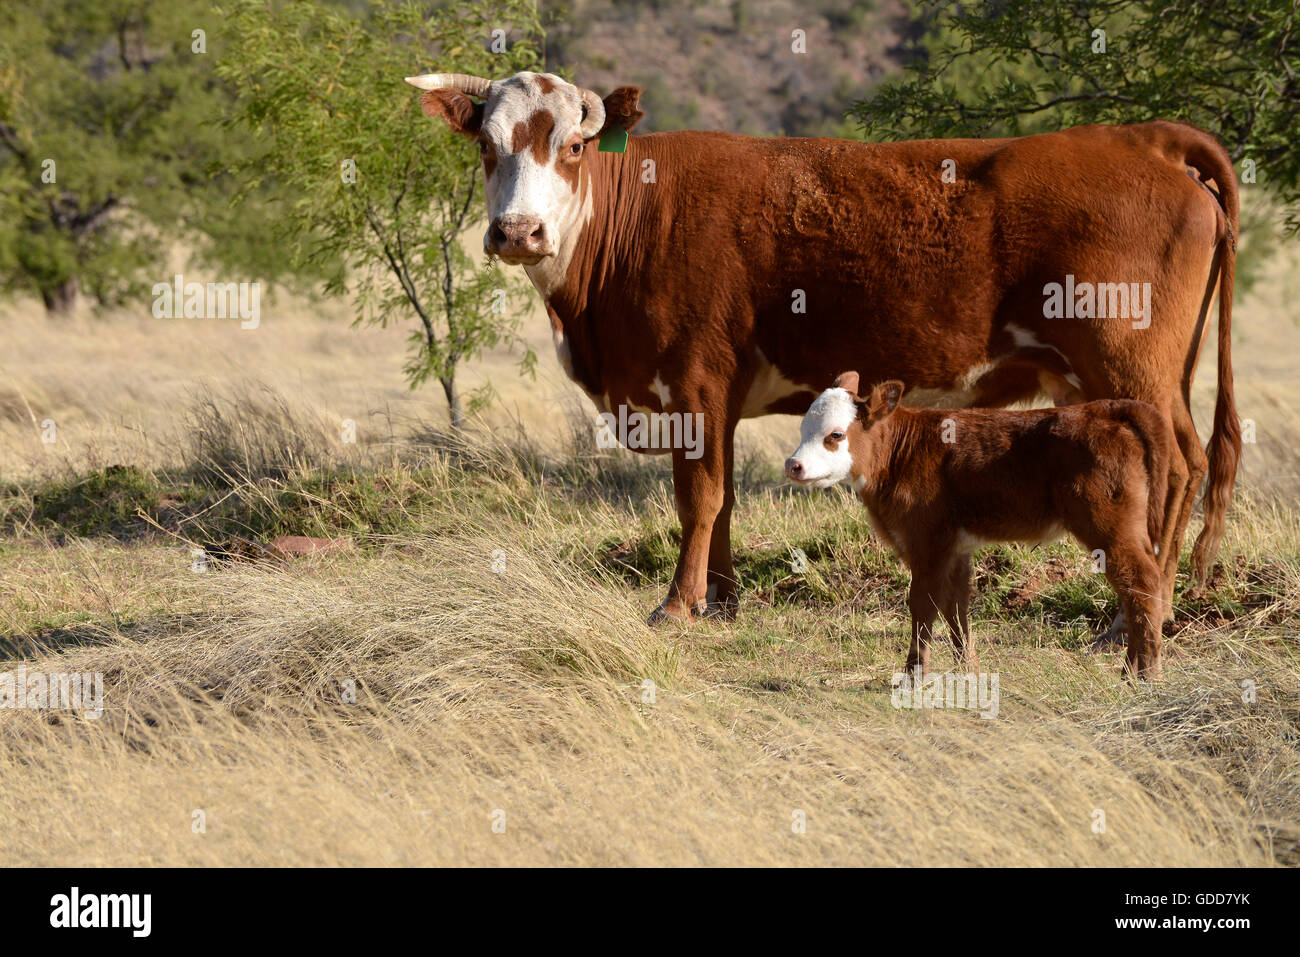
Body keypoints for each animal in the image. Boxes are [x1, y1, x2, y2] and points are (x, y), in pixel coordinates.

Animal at [406, 71, 1240, 629]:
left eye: (575, 145)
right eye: (487, 146)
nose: (519, 232)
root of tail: (1141, 138)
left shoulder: (694, 381)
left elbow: (698, 496)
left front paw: (677, 604)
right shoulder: (717, 398)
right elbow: (721, 498)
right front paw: (722, 597)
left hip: (1129, 363)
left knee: (1177, 462)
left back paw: (1141, 610)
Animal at [785, 373, 1173, 679]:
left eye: (836, 435)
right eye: (802, 429)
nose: (793, 465)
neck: (900, 455)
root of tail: (1106, 408)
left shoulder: (926, 541)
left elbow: (922, 604)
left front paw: (913, 676)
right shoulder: (955, 547)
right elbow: (955, 605)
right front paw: (966, 670)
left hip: (1108, 526)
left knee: (1141, 583)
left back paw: (1142, 674)